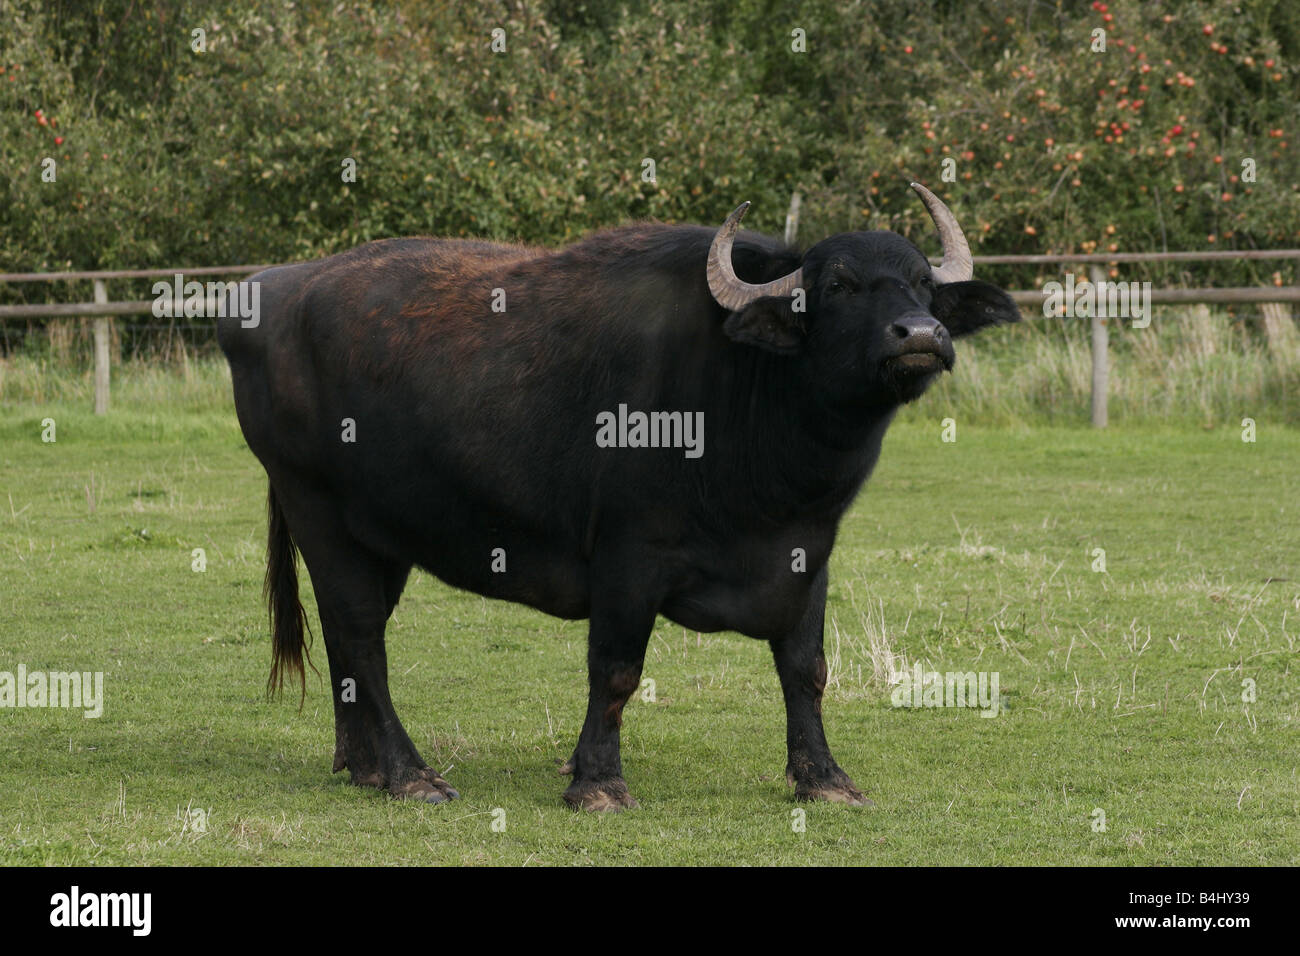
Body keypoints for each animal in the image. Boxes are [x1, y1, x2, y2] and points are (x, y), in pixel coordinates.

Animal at [217, 183, 1019, 810]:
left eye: (922, 285)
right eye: (838, 286)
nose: (921, 334)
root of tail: (264, 292)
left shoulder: (807, 555)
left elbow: (806, 669)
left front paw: (824, 779)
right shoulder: (629, 558)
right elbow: (616, 671)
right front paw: (597, 782)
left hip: (377, 536)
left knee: (349, 641)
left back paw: (363, 768)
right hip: (318, 510)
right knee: (361, 638)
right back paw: (412, 776)